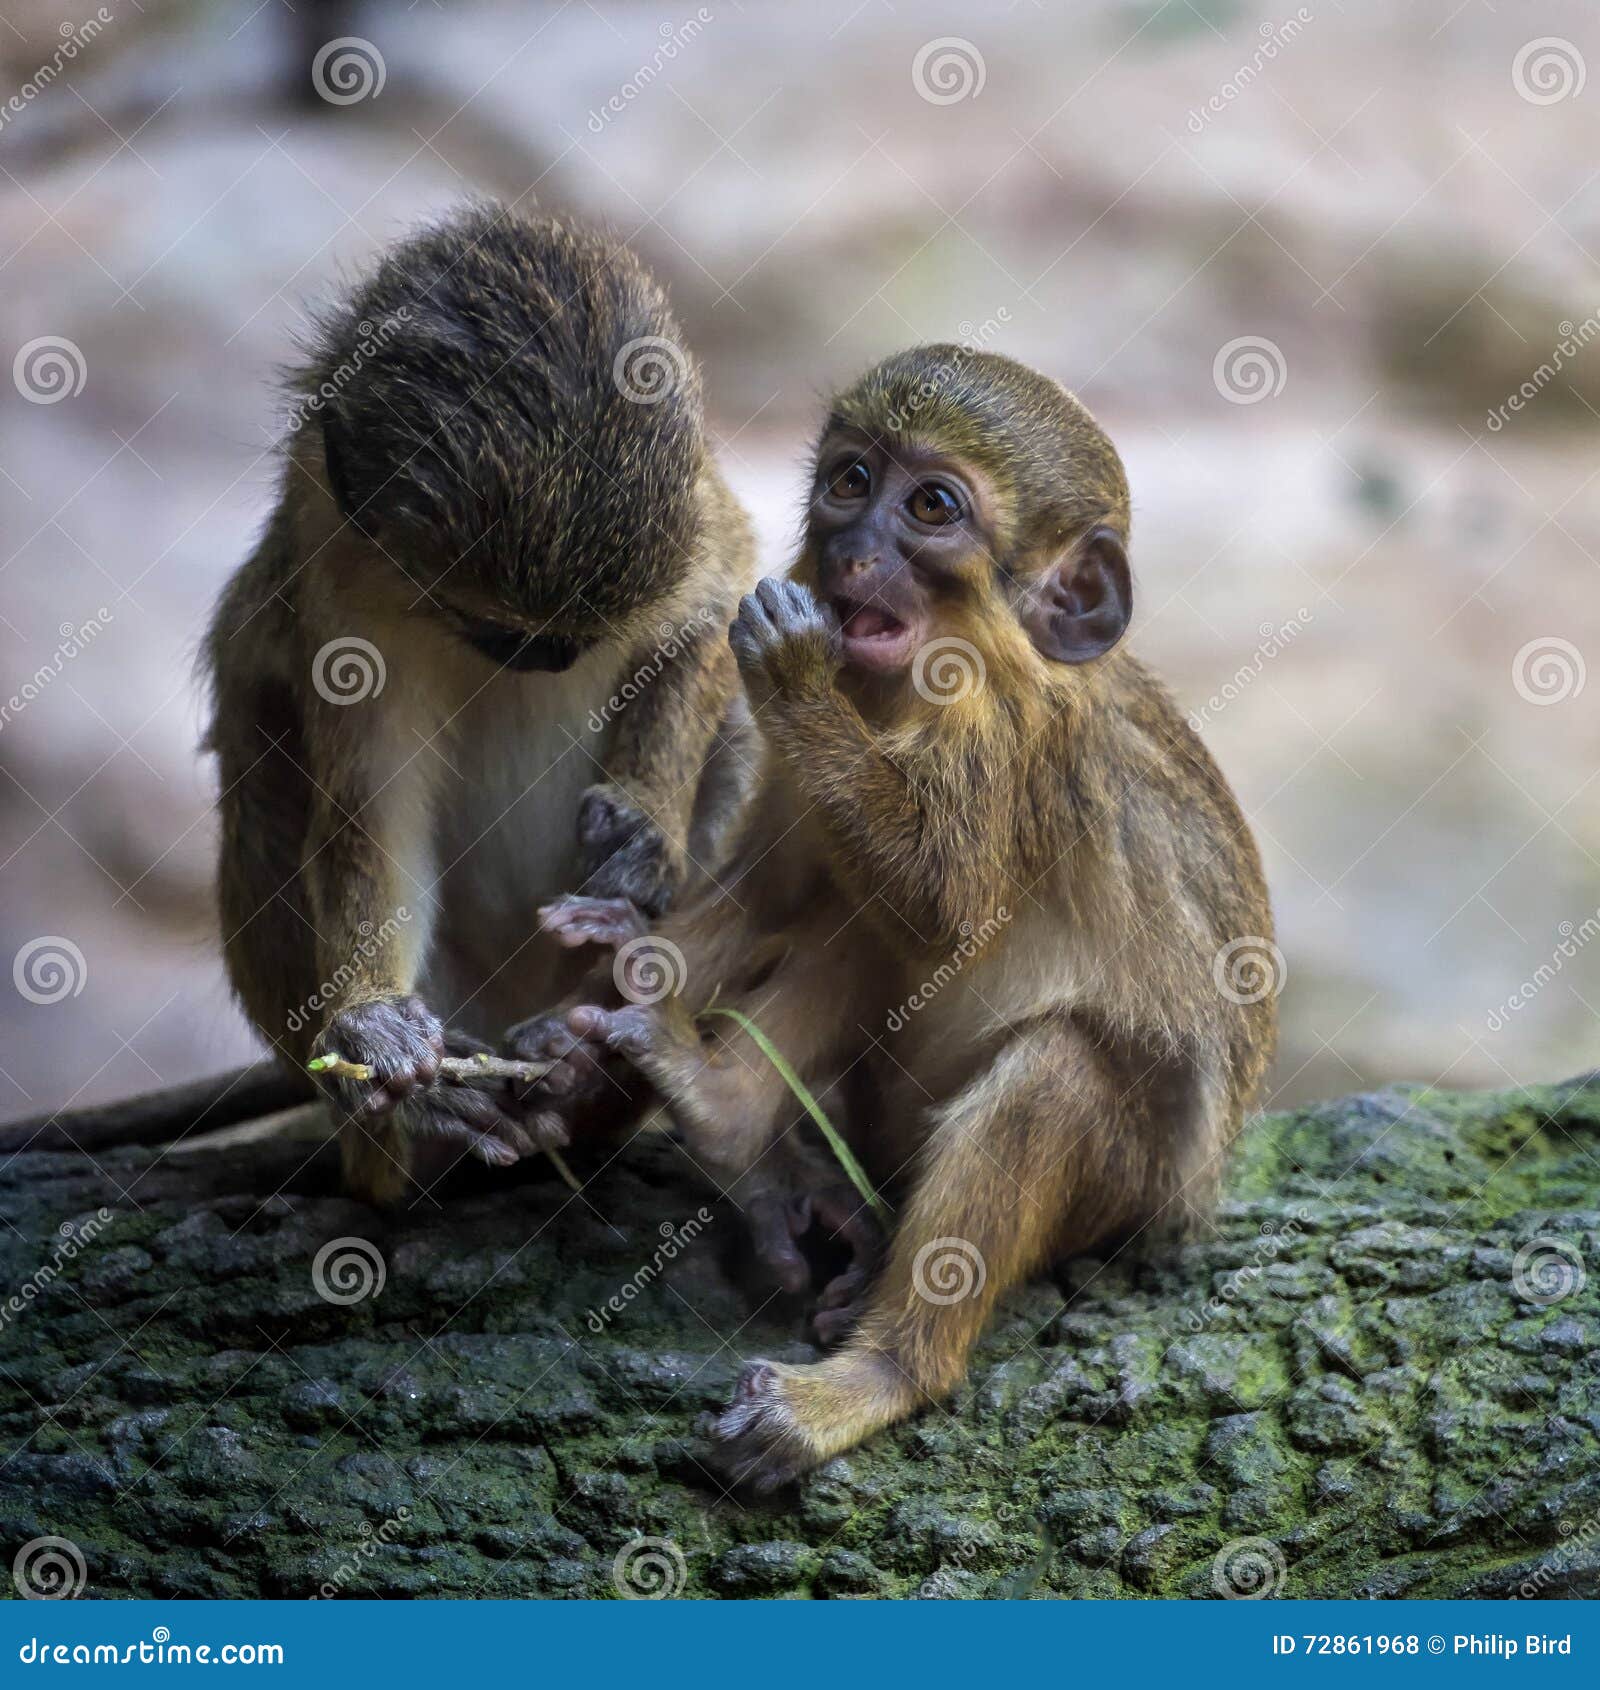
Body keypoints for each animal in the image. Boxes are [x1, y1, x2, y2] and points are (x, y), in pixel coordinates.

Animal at [192, 201, 756, 1206]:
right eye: (499, 632)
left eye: (566, 641)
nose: (549, 655)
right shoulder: (335, 578)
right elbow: (369, 808)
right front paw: (372, 1026)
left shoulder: (690, 512)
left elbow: (716, 613)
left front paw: (643, 834)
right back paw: (440, 1121)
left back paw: (586, 1052)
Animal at [509, 345, 1276, 1489]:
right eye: (850, 480)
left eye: (929, 507)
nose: (850, 548)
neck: (899, 691)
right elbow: (776, 898)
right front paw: (584, 996)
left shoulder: (996, 730)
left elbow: (937, 914)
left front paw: (794, 676)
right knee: (840, 919)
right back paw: (720, 1112)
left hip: (1126, 1186)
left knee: (1045, 1061)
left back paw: (878, 1360)